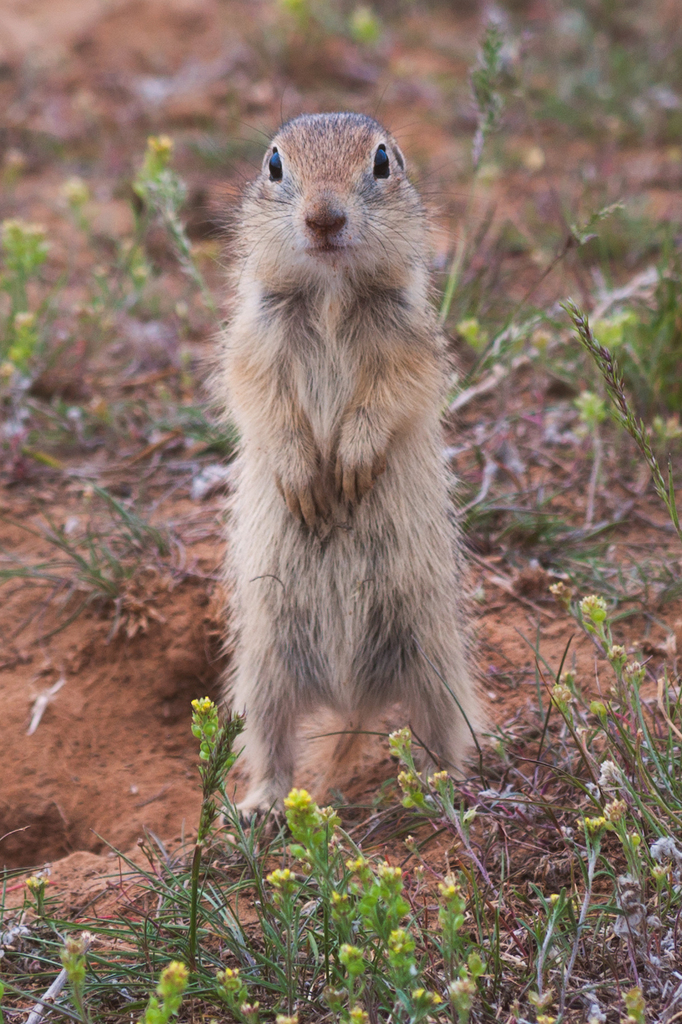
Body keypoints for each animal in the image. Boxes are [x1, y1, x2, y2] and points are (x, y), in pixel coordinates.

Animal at [217, 112, 478, 816]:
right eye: (274, 165)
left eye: (382, 162)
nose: (324, 218)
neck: (332, 292)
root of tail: (349, 696)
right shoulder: (252, 342)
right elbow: (261, 401)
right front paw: (307, 479)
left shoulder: (411, 346)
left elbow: (389, 398)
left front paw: (353, 464)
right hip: (263, 670)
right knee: (271, 742)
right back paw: (263, 805)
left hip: (434, 656)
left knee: (443, 725)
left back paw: (444, 785)